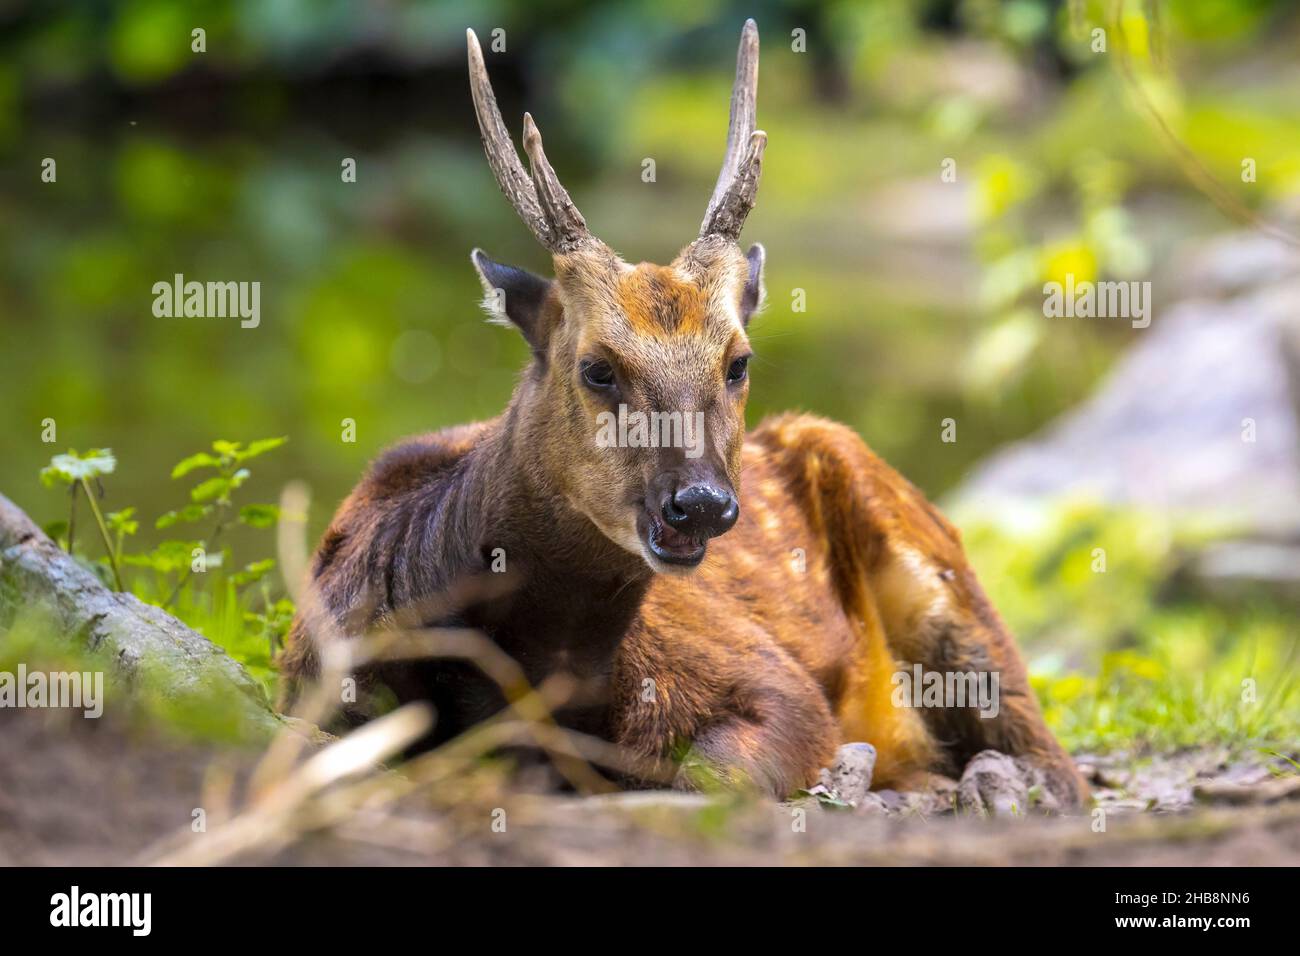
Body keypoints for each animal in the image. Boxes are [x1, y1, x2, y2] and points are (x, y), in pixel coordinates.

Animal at [278, 20, 1087, 811]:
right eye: (597, 367)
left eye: (739, 362)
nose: (699, 503)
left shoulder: (776, 682)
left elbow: (709, 772)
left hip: (943, 586)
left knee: (1054, 759)